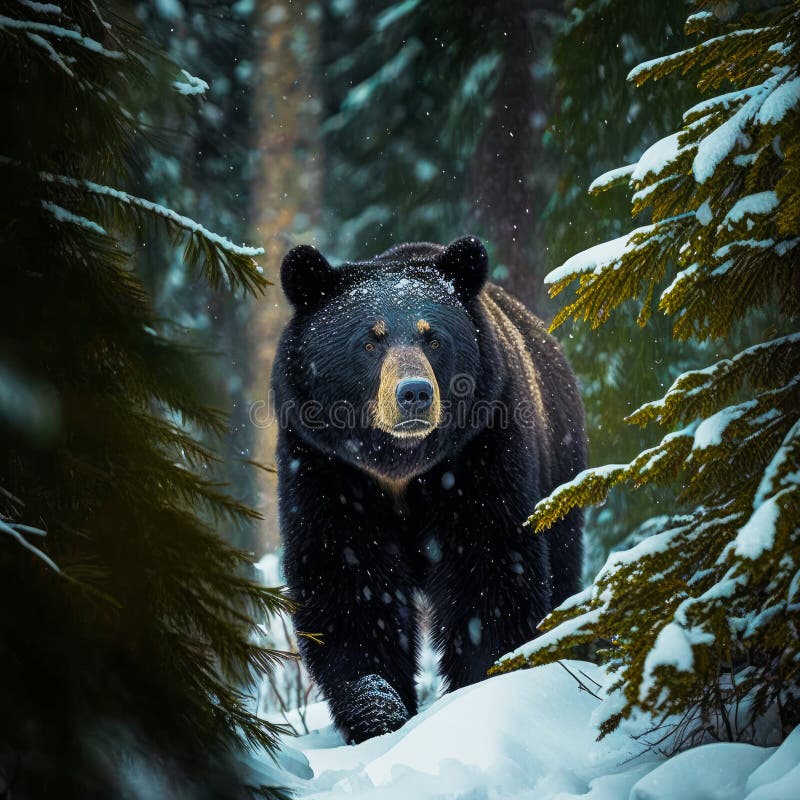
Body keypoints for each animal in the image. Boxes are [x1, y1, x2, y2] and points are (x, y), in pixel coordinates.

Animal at [272, 236, 586, 744]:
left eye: (433, 337)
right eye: (370, 339)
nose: (415, 393)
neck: (401, 467)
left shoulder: (481, 449)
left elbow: (489, 571)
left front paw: (478, 691)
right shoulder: (326, 466)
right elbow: (348, 584)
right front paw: (379, 717)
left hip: (561, 474)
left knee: (561, 571)